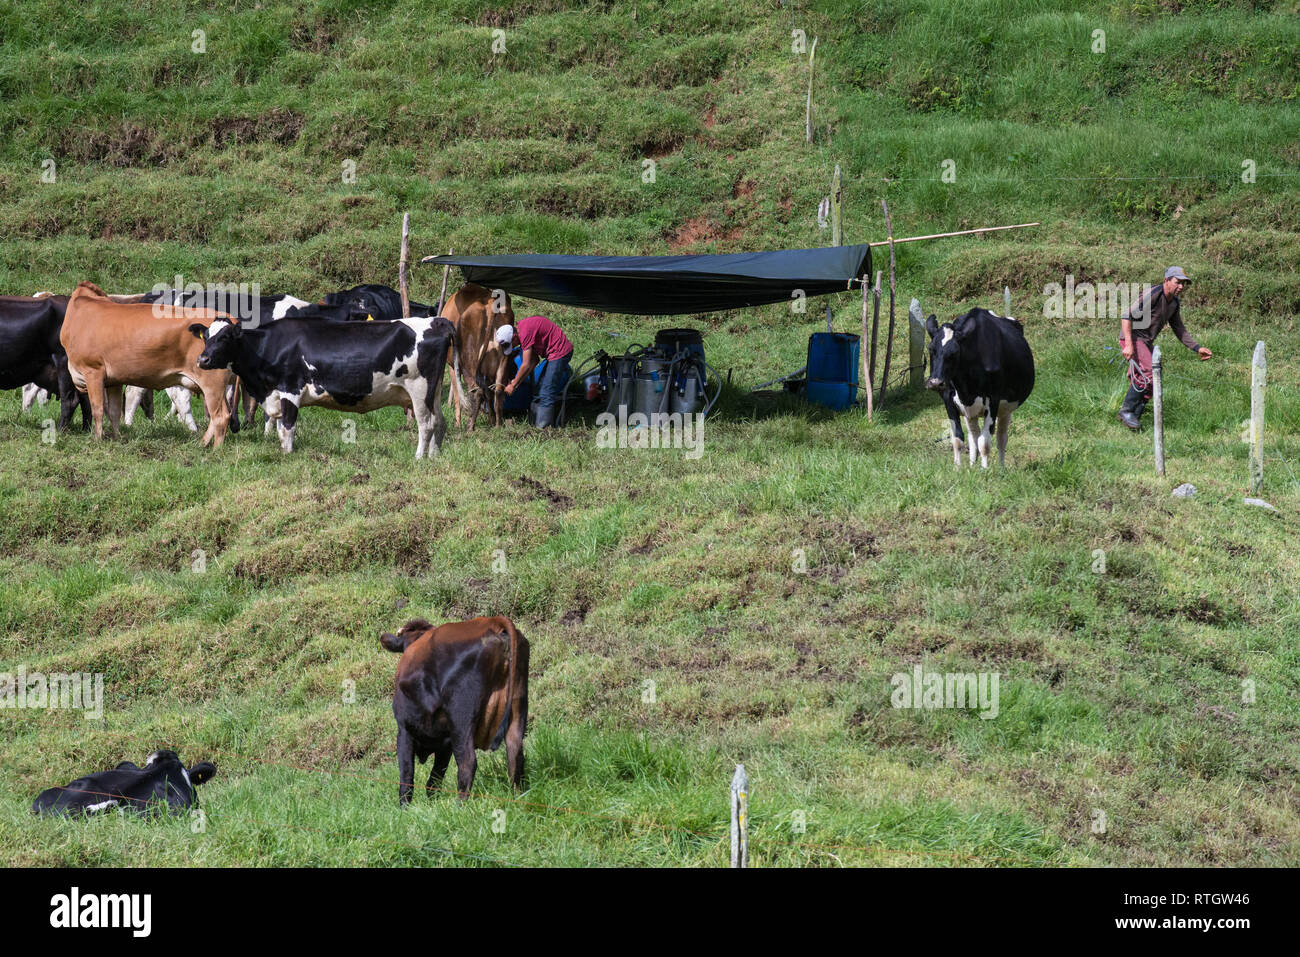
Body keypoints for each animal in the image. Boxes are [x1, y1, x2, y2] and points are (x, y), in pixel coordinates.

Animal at [59, 281, 237, 446]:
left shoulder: (93, 371)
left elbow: (98, 408)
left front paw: (98, 440)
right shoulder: (113, 380)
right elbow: (114, 411)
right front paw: (117, 439)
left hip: (212, 381)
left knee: (220, 415)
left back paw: (216, 449)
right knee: (220, 414)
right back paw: (202, 443)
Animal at [193, 314, 453, 459]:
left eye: (225, 337)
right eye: (206, 337)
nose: (202, 360)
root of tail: (437, 321)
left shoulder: (291, 389)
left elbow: (288, 427)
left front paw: (288, 455)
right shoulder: (277, 393)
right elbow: (279, 429)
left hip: (420, 389)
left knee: (426, 424)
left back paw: (419, 457)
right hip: (435, 391)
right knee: (440, 422)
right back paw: (434, 456)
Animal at [380, 616, 529, 802]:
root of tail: (492, 621)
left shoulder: (404, 729)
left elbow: (407, 776)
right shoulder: (445, 742)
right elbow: (434, 780)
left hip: (461, 716)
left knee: (467, 761)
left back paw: (459, 804)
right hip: (518, 705)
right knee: (515, 753)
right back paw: (518, 797)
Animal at [439, 283, 514, 429]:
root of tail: (491, 301)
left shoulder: (452, 366)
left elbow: (457, 396)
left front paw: (457, 423)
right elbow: (489, 394)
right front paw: (491, 421)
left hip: (469, 362)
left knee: (477, 391)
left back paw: (470, 427)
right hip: (503, 359)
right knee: (497, 390)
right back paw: (497, 426)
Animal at [925, 307, 1035, 468]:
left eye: (954, 352)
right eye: (931, 349)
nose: (935, 382)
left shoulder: (993, 400)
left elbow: (985, 442)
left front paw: (984, 470)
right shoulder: (948, 399)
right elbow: (957, 439)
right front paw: (958, 468)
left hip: (1006, 408)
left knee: (1001, 438)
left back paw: (1001, 468)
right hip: (971, 413)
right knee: (973, 436)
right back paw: (971, 465)